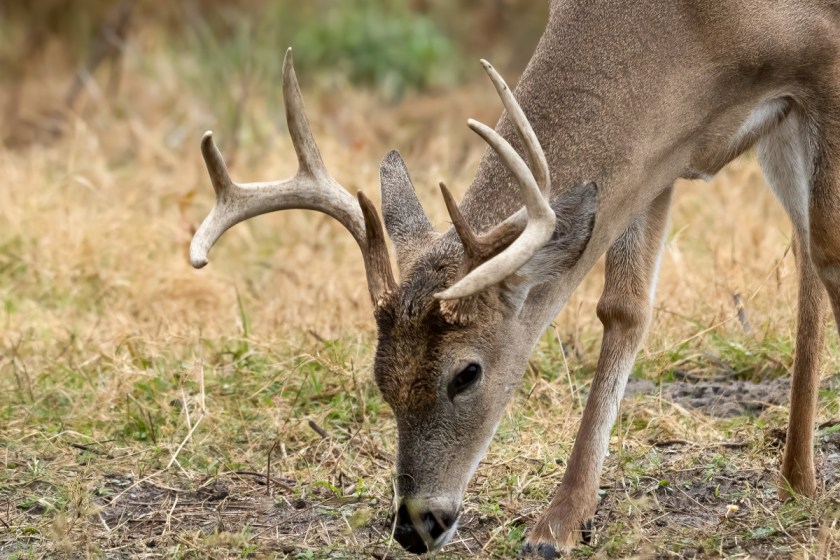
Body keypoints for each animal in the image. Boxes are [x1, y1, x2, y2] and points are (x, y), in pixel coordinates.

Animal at [190, 1, 840, 556]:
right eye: (380, 378)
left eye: (467, 373)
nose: (414, 525)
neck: (696, 35)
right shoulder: (662, 155)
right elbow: (625, 307)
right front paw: (558, 523)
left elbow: (831, 250)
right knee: (799, 246)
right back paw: (797, 480)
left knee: (811, 247)